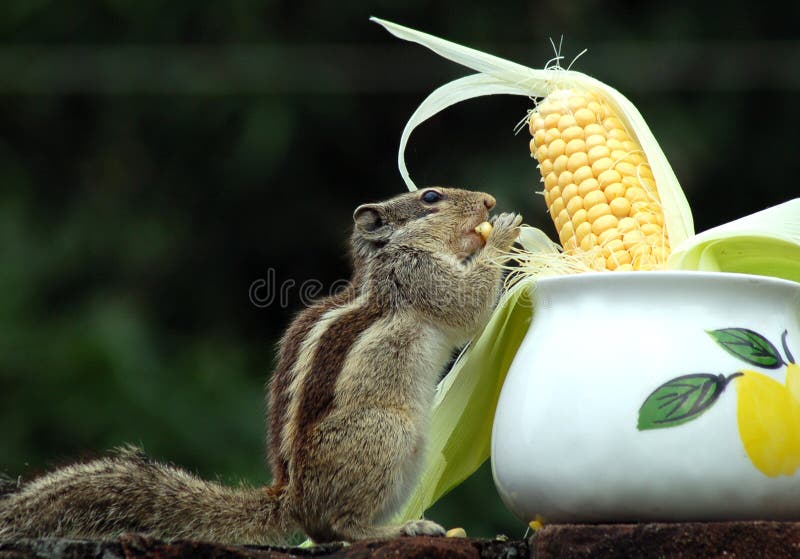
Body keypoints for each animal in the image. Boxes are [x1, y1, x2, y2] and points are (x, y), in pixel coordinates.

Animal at [0, 187, 521, 544]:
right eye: (430, 196)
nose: (489, 200)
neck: (387, 258)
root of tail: (293, 498)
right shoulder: (417, 274)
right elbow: (466, 305)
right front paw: (504, 231)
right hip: (387, 432)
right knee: (341, 527)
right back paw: (402, 528)